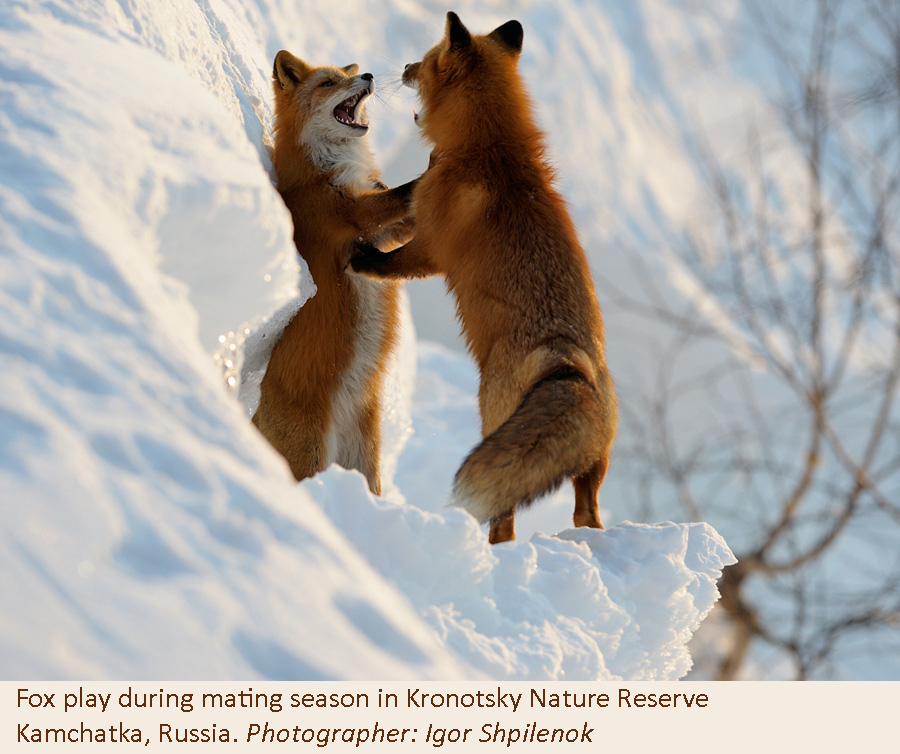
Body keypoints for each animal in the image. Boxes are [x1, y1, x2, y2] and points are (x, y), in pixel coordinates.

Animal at [253, 50, 416, 494]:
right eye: (329, 84)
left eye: (346, 74)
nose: (368, 74)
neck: (328, 166)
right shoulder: (346, 213)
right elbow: (402, 193)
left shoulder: (381, 234)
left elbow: (405, 220)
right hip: (311, 458)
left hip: (366, 466)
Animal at [350, 13, 618, 543]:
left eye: (427, 60)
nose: (404, 66)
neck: (489, 148)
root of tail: (568, 359)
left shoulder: (432, 248)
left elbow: (391, 262)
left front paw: (360, 260)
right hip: (593, 466)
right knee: (588, 513)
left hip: (490, 417)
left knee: (505, 517)